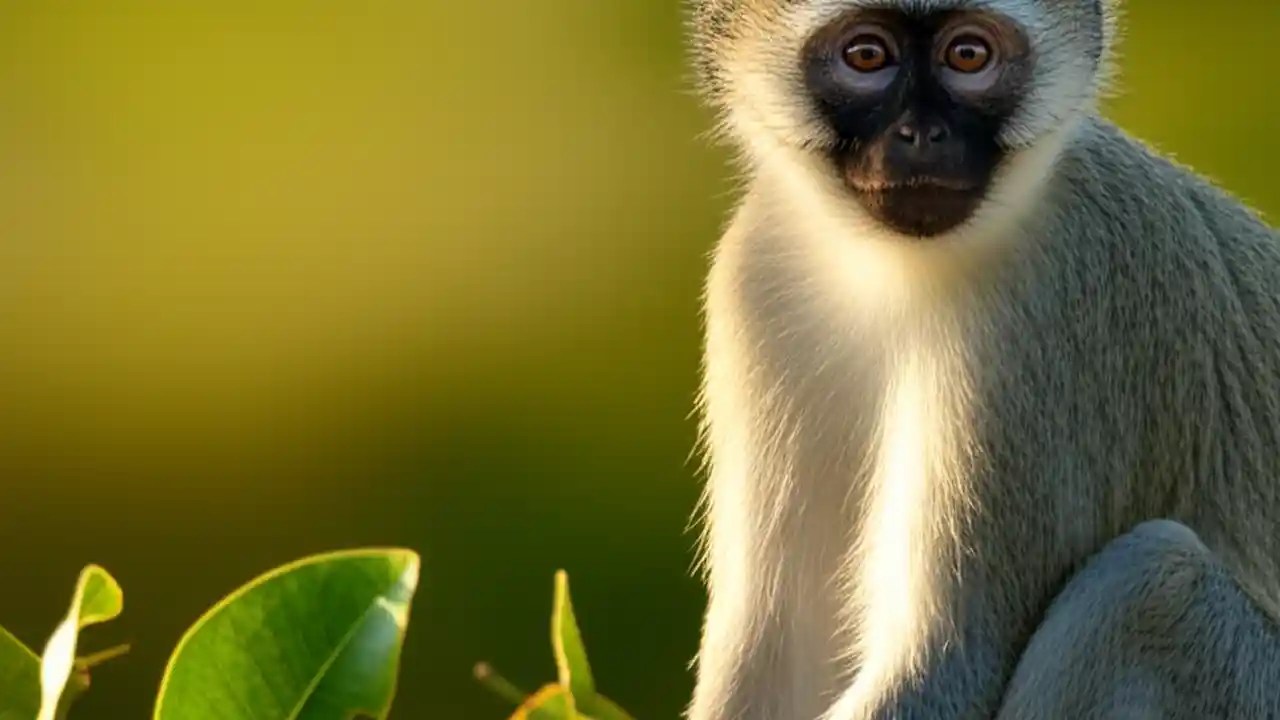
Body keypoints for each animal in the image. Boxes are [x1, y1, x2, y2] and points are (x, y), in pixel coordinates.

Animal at [686, 1, 1280, 719]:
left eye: (968, 56)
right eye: (866, 56)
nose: (922, 134)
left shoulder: (1050, 301)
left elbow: (950, 664)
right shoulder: (757, 277)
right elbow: (772, 656)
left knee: (1155, 588)